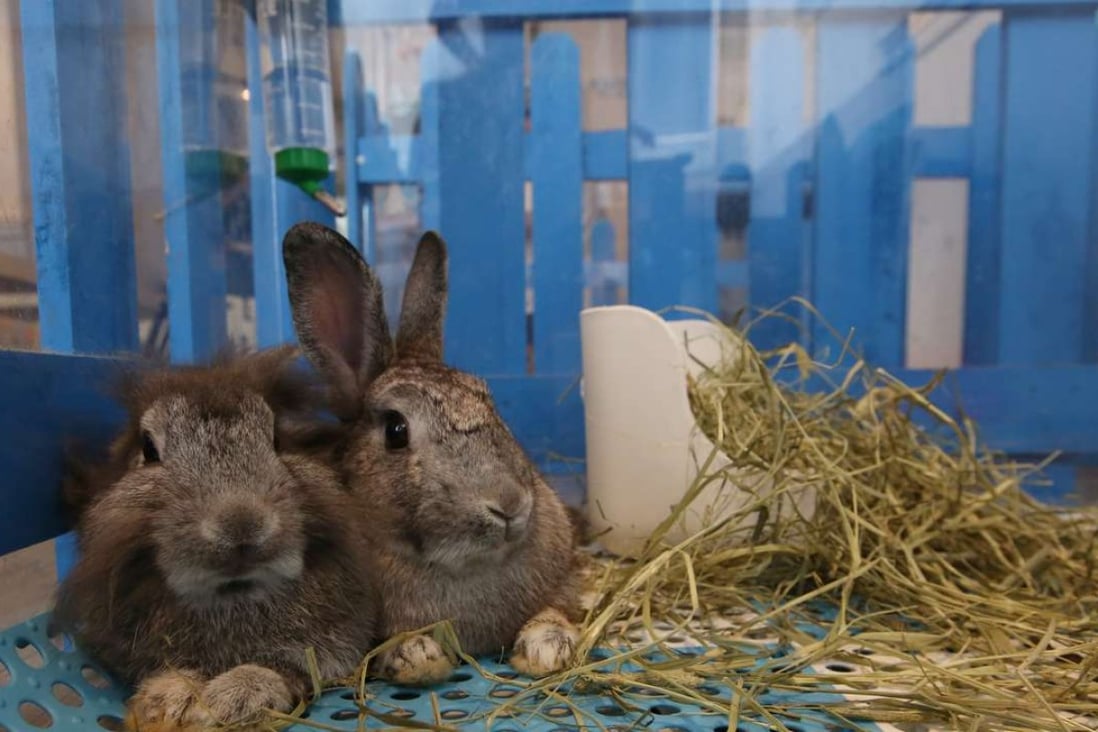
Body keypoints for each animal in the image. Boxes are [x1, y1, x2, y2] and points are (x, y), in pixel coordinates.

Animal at [53, 346, 378, 730]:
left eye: (277, 440)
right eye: (148, 449)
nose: (241, 525)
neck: (231, 594)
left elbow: (284, 670)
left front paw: (232, 700)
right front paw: (165, 702)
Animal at [282, 221, 582, 686]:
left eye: (489, 401)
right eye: (396, 430)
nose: (510, 506)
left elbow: (554, 611)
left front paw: (545, 648)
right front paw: (418, 656)